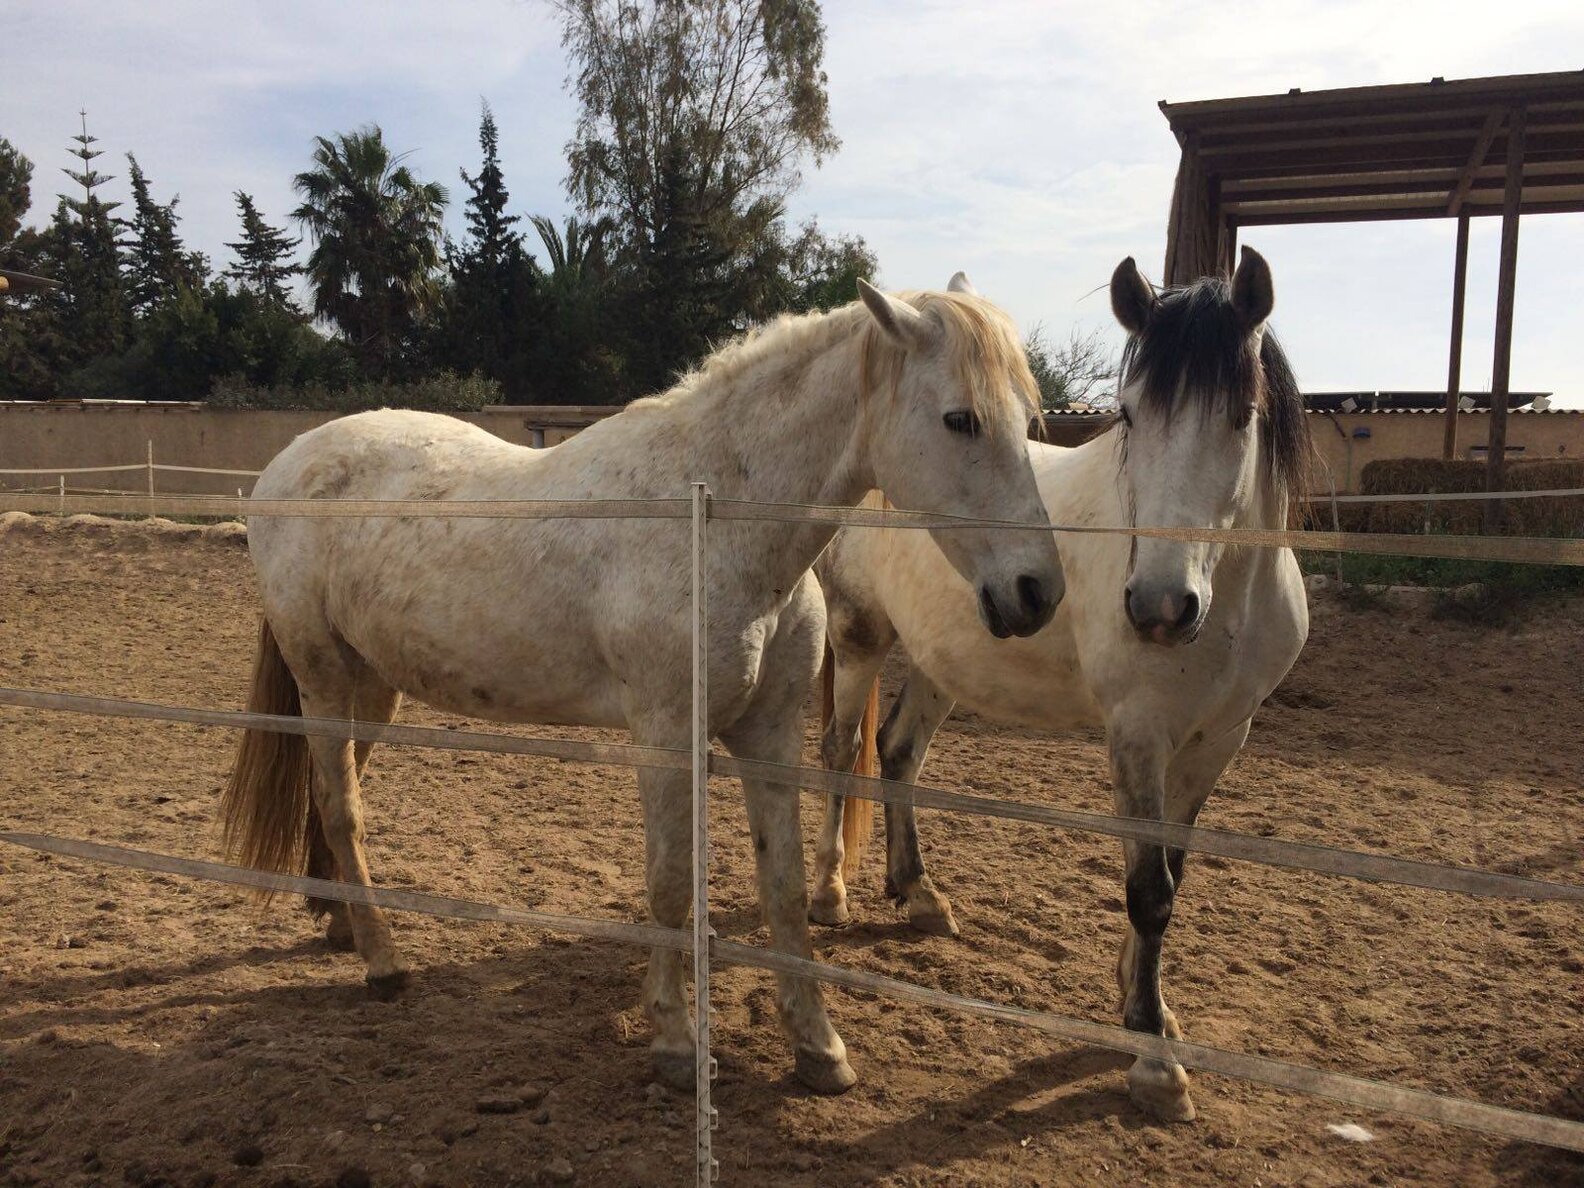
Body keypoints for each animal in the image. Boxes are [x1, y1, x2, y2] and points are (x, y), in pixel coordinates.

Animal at [219, 277, 1065, 1096]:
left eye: (1029, 418)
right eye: (959, 419)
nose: (1037, 592)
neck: (716, 521)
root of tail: (288, 463)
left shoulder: (768, 737)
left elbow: (784, 886)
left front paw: (818, 1047)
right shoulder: (665, 737)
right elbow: (669, 886)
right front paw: (676, 1044)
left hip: (374, 687)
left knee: (334, 795)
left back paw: (338, 921)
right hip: (322, 676)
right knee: (340, 805)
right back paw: (382, 960)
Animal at [811, 248, 1311, 1120]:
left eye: (1242, 415)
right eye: (1131, 414)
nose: (1159, 607)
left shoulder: (1218, 741)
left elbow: (1173, 873)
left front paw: (1147, 1004)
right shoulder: (1138, 735)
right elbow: (1148, 888)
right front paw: (1153, 1060)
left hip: (944, 659)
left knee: (899, 754)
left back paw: (920, 895)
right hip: (860, 636)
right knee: (844, 752)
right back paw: (833, 894)